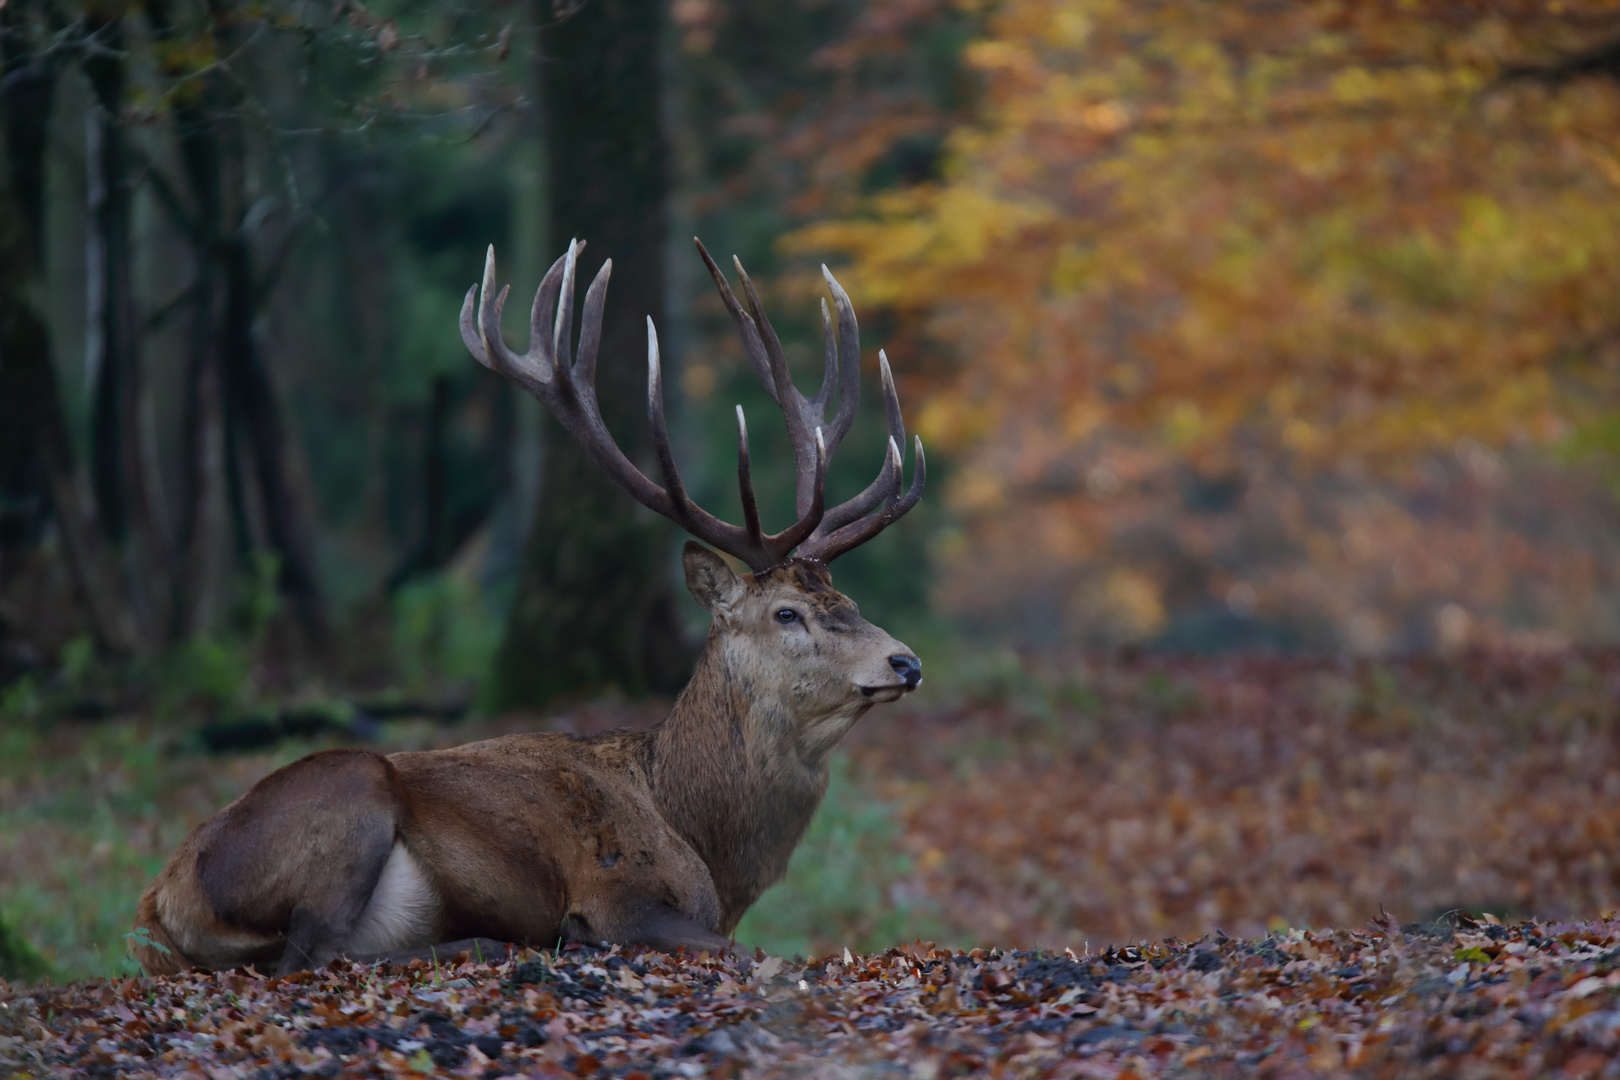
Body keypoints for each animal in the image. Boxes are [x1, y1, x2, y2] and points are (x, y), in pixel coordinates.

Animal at [130, 237, 926, 976]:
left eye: (846, 598)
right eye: (786, 612)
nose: (906, 661)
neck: (699, 837)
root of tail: (160, 904)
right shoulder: (618, 895)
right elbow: (764, 955)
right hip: (347, 792)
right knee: (313, 956)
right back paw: (486, 943)